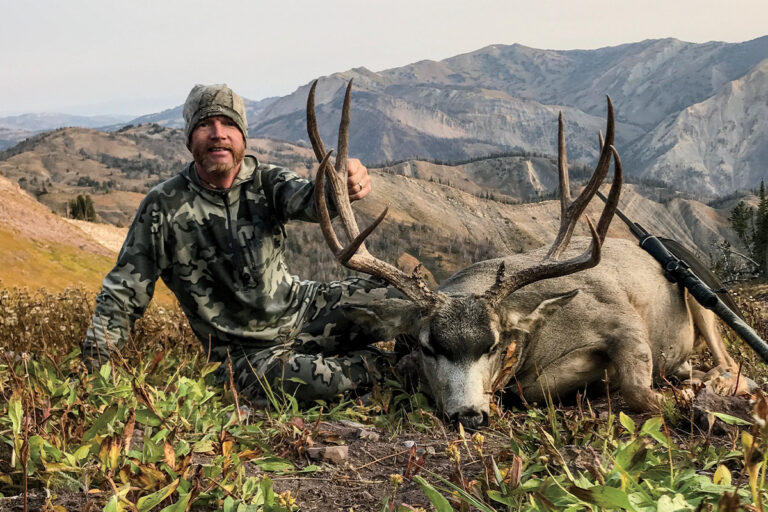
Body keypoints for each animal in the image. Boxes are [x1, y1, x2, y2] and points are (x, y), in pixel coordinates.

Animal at [305, 80, 746, 429]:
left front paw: (680, 396)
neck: (535, 345)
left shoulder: (622, 319)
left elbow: (639, 391)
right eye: (429, 347)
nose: (469, 416)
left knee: (729, 358)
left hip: (703, 294)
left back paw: (708, 380)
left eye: (494, 345)